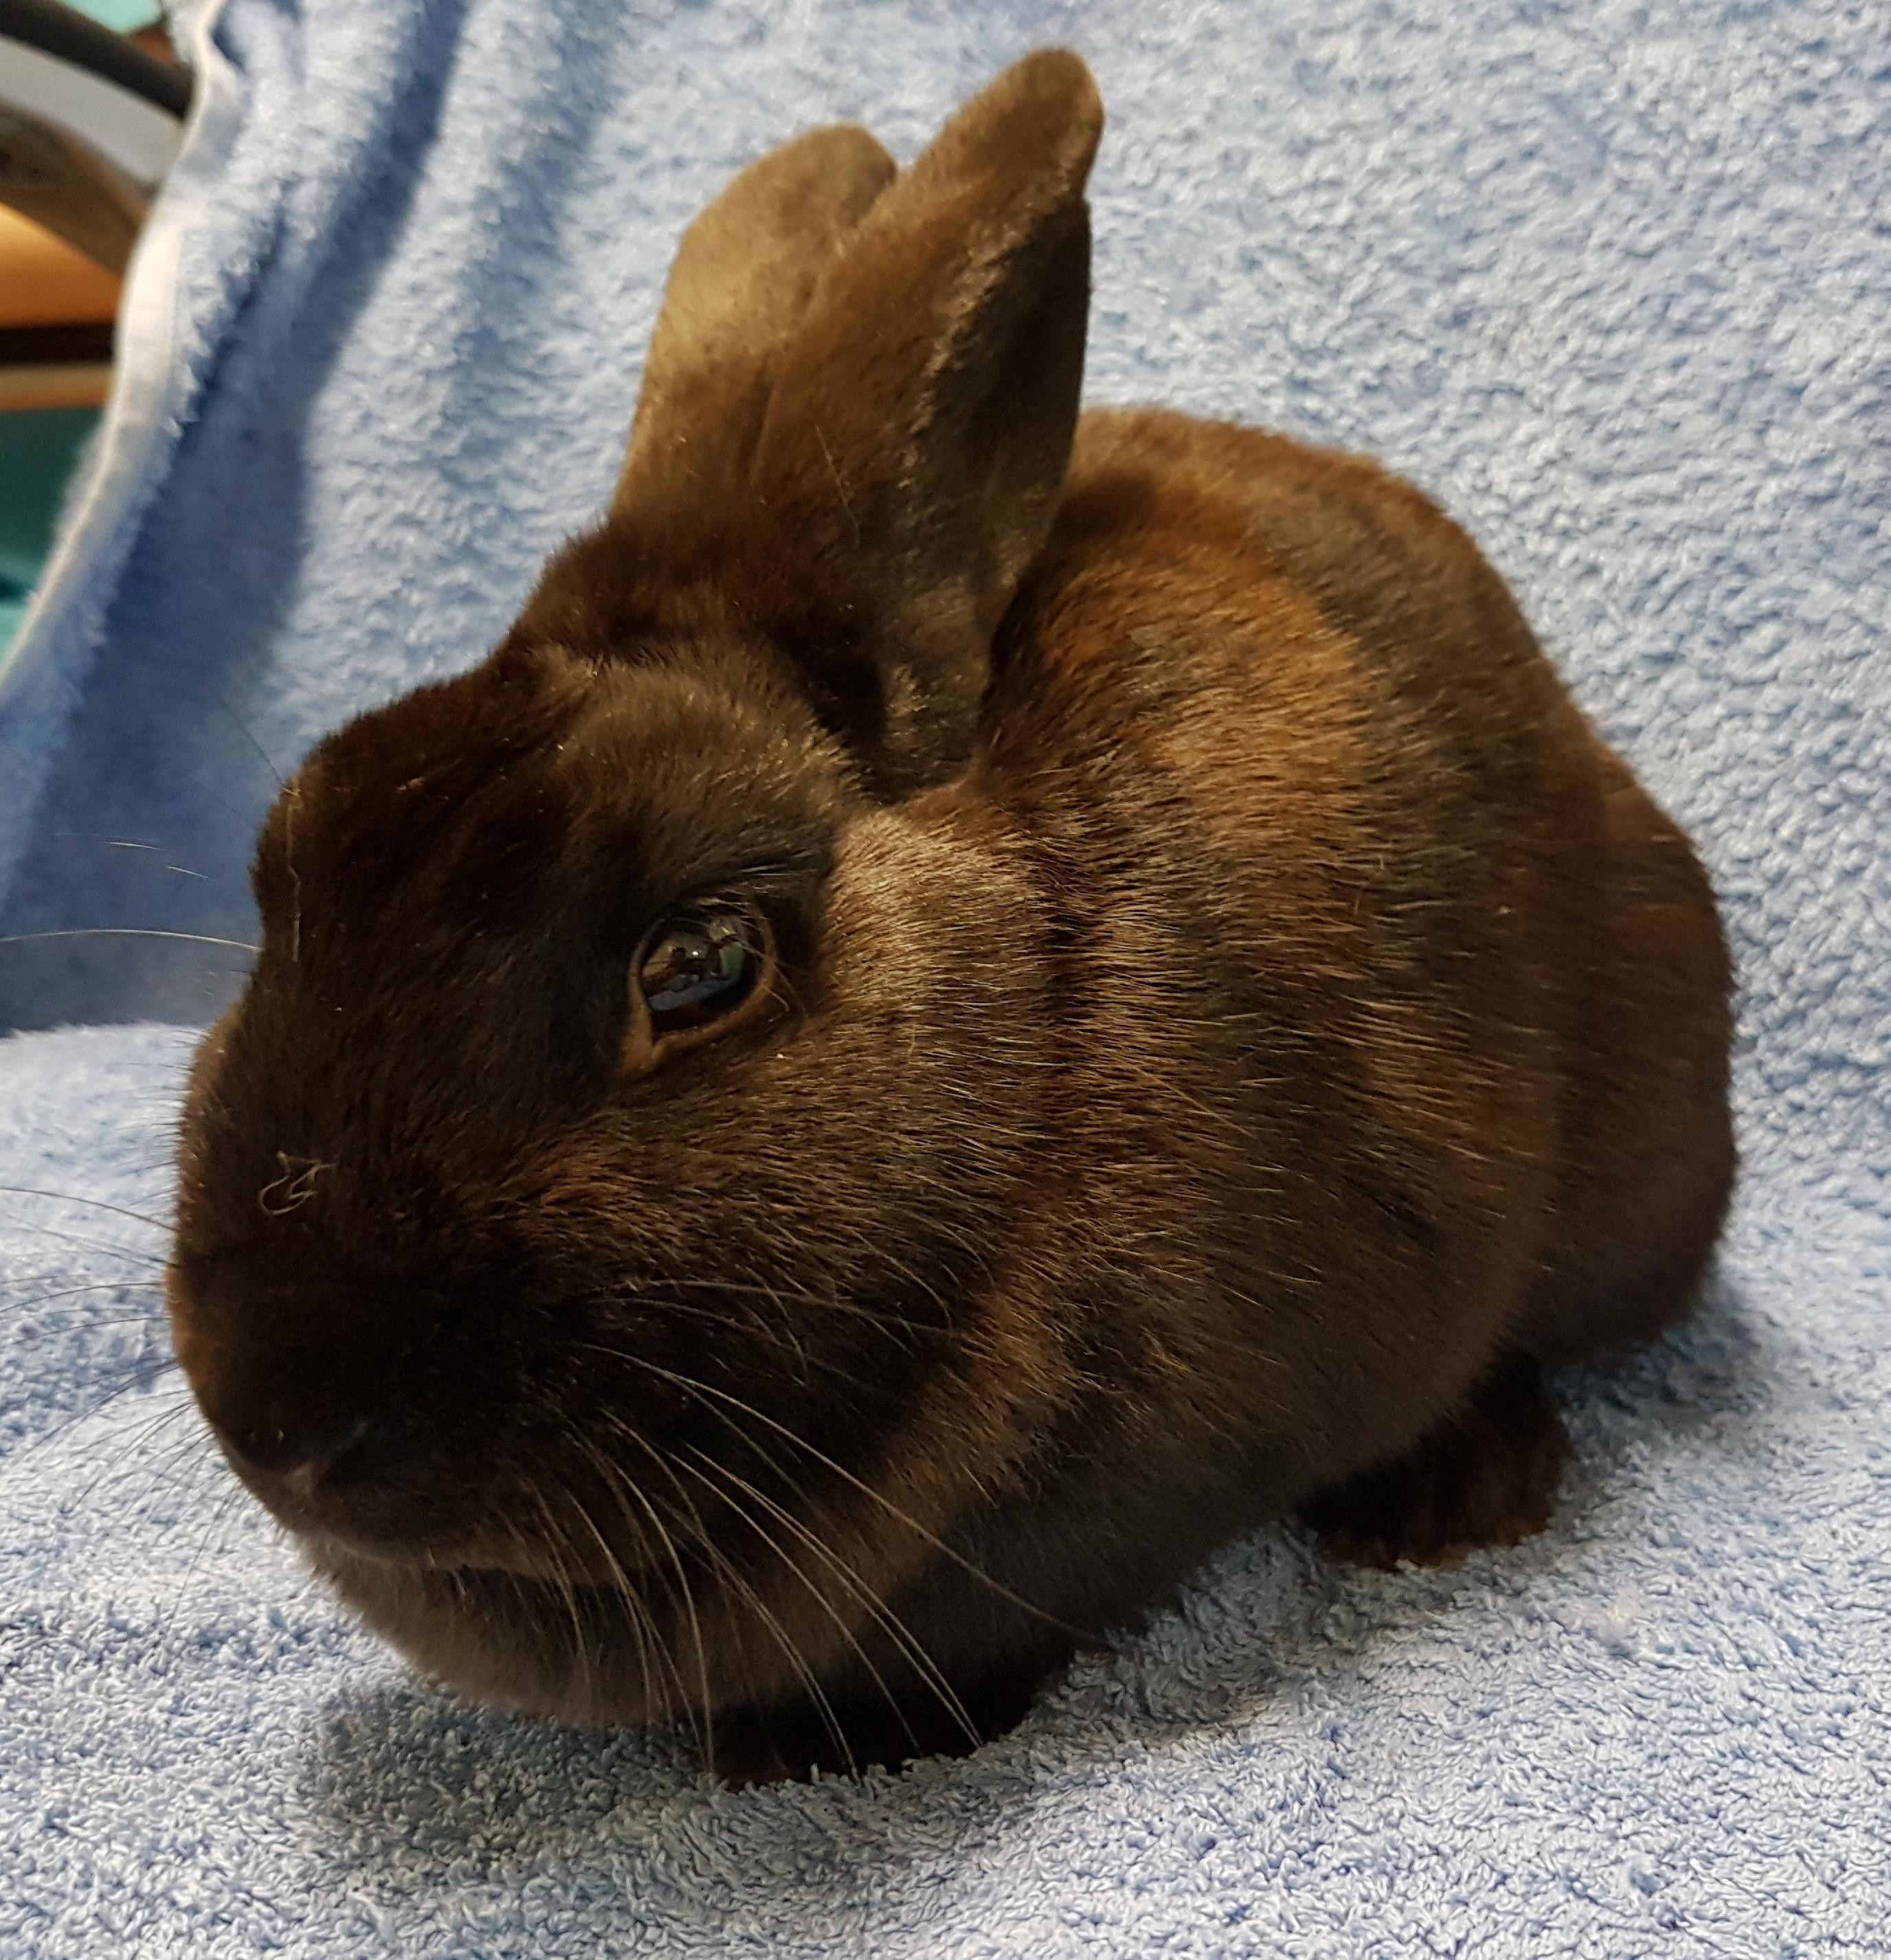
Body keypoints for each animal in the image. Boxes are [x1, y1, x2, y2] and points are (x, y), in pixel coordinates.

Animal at [165, 48, 1734, 1782]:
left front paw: (817, 1754)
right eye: (286, 867)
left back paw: (1457, 1501)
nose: (282, 1423)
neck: (1037, 1029)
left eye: (699, 965)